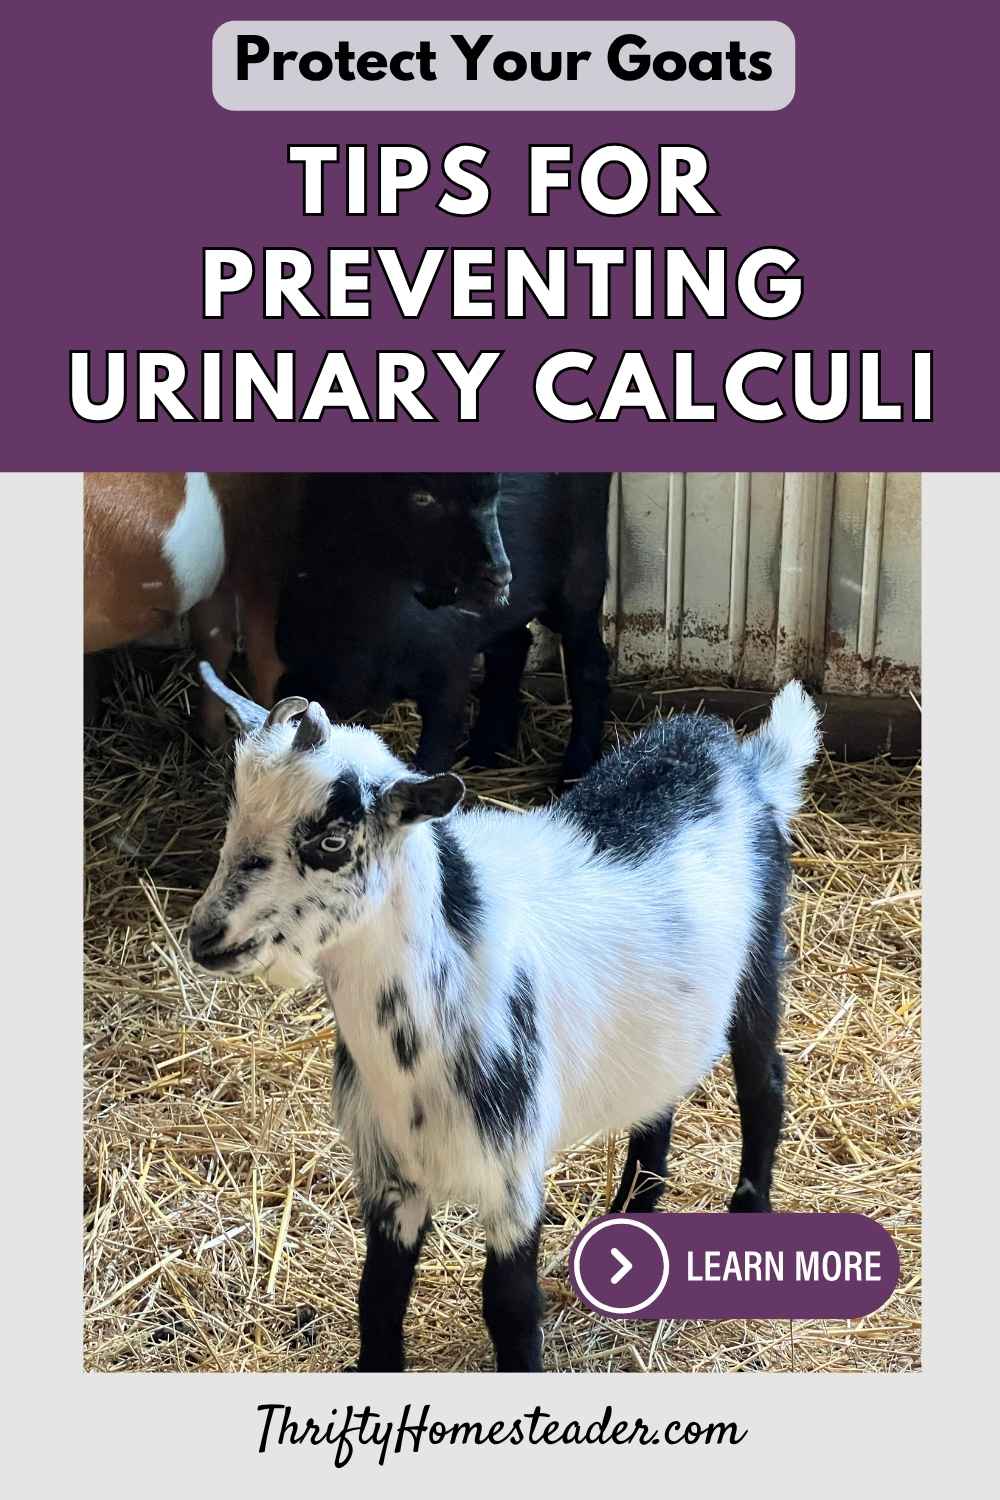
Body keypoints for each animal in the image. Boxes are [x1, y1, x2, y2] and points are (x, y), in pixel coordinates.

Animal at [190, 664, 819, 1371]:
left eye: (330, 840)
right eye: (236, 810)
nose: (205, 935)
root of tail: (745, 763)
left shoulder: (511, 1169)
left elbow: (510, 1305)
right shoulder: (389, 1170)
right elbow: (378, 1294)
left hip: (759, 962)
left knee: (764, 1081)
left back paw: (748, 1212)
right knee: (656, 1103)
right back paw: (628, 1216)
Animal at [275, 471, 611, 779]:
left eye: (495, 495)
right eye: (422, 498)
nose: (500, 575)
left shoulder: (448, 673)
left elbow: (432, 760)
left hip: (583, 564)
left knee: (588, 662)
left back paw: (576, 766)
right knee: (512, 647)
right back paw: (487, 748)